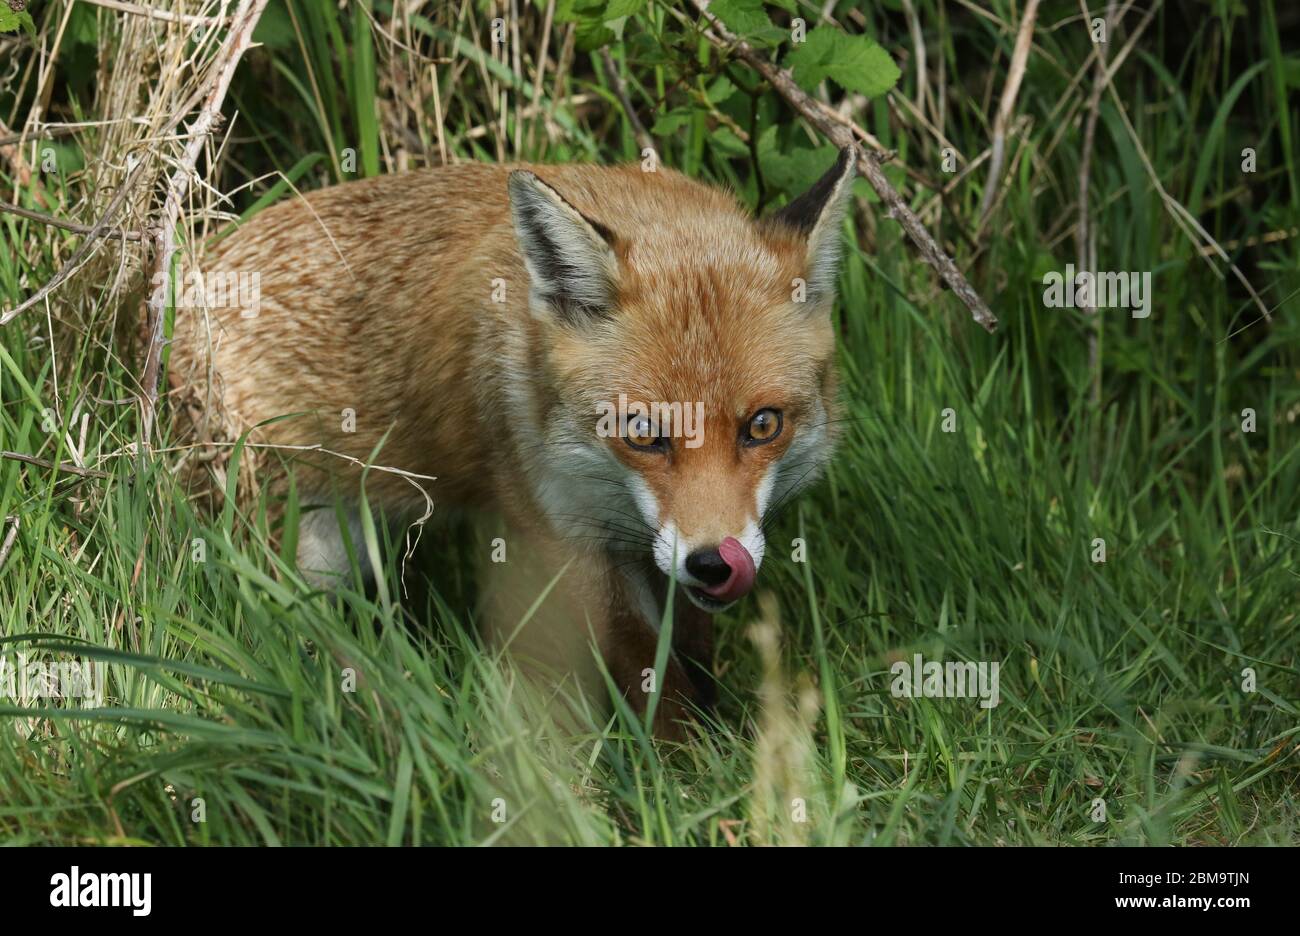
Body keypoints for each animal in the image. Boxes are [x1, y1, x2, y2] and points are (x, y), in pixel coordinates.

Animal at [169, 147, 857, 738]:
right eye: (642, 433)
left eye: (762, 425)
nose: (714, 563)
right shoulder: (560, 529)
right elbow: (648, 672)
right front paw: (686, 771)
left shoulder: (656, 552)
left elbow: (688, 644)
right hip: (295, 557)